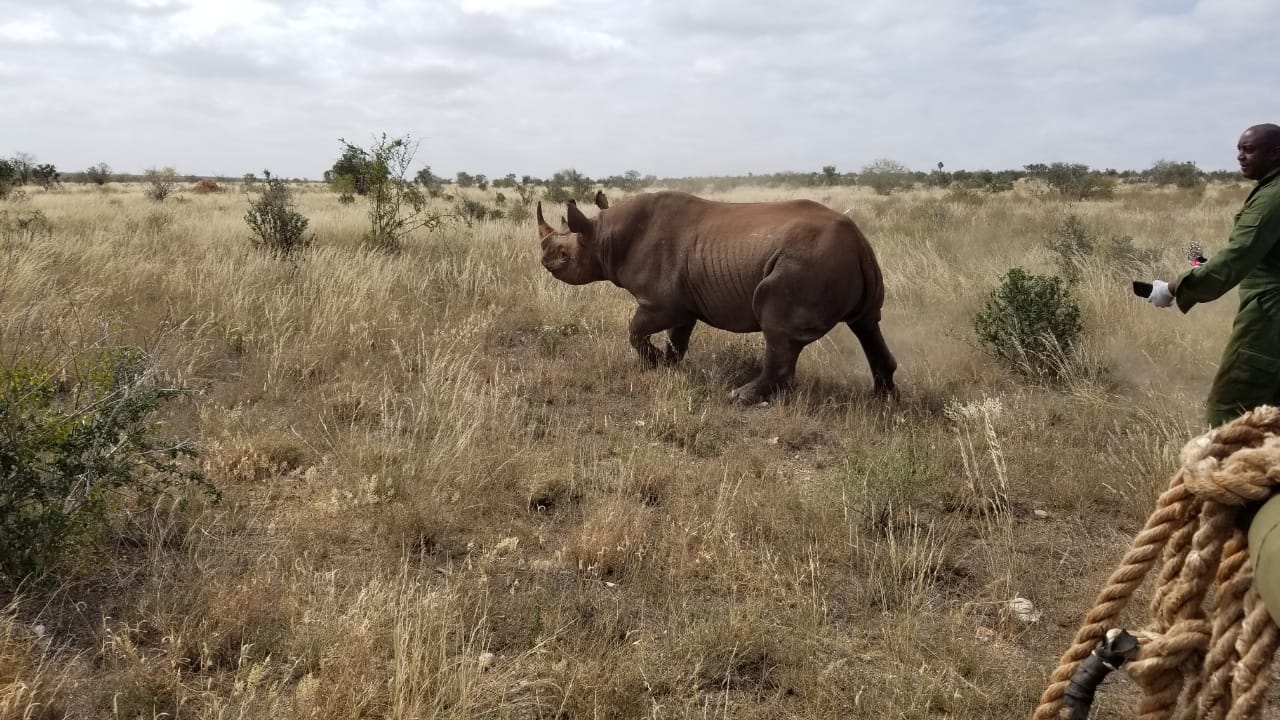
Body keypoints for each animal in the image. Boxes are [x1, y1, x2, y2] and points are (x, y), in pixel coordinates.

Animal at [536, 190, 897, 404]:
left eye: (564, 255)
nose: (544, 262)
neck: (603, 235)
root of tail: (859, 241)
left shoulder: (659, 303)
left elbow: (635, 330)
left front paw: (652, 361)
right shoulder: (682, 304)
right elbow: (677, 340)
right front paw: (666, 366)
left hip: (806, 262)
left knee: (779, 330)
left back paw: (740, 396)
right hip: (839, 260)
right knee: (867, 325)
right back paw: (884, 399)